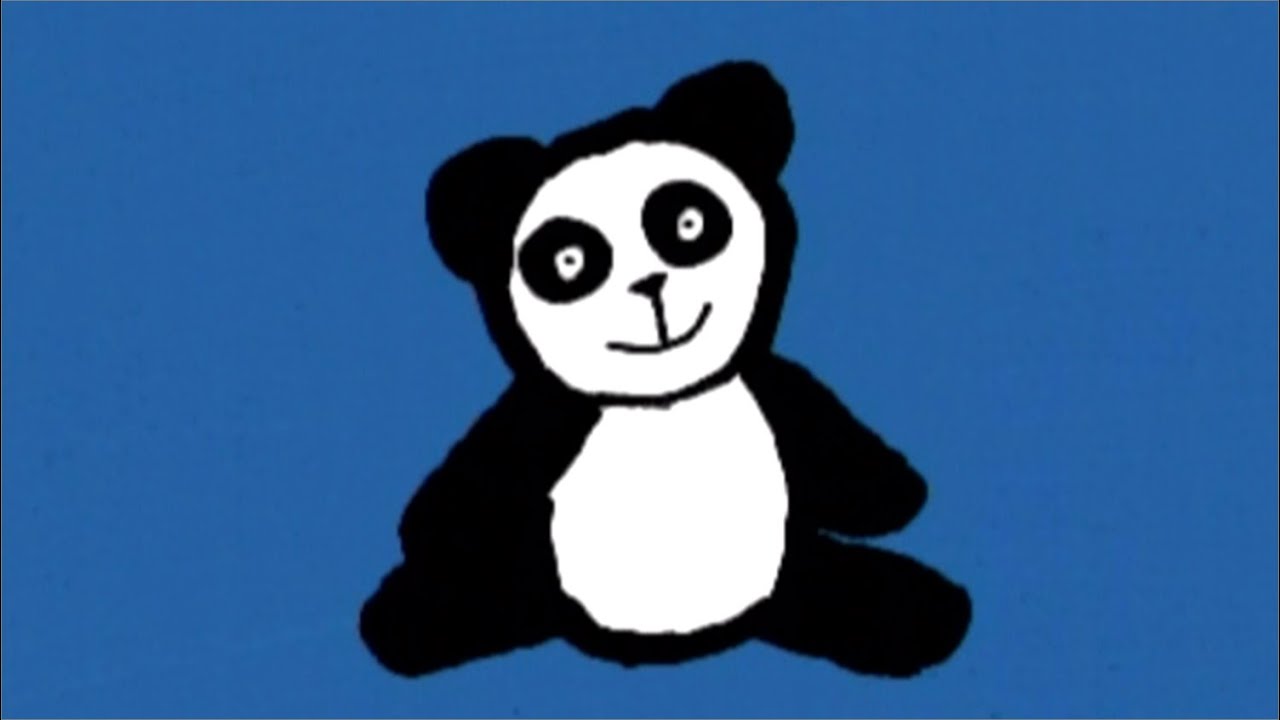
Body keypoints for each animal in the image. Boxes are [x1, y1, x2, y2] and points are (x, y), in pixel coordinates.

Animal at [359, 60, 972, 679]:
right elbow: (477, 482)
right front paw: (425, 530)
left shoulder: (774, 388)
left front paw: (900, 492)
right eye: (569, 261)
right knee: (468, 597)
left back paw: (931, 613)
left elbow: (837, 448)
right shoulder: (545, 415)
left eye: (689, 223)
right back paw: (400, 618)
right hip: (533, 581)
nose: (649, 284)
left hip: (791, 572)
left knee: (858, 595)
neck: (666, 403)